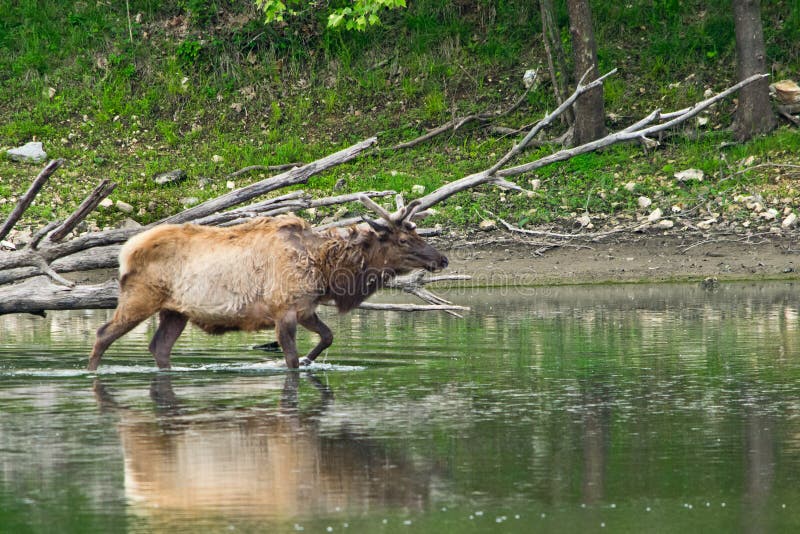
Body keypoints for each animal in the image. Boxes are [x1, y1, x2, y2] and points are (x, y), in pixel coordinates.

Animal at [87, 195, 448, 370]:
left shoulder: (305, 308)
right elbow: (291, 359)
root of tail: (125, 251)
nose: (442, 259)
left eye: (417, 234)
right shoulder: (283, 309)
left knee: (159, 347)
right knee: (103, 334)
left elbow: (328, 337)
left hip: (175, 311)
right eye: (403, 240)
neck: (326, 269)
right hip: (140, 297)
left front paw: (310, 360)